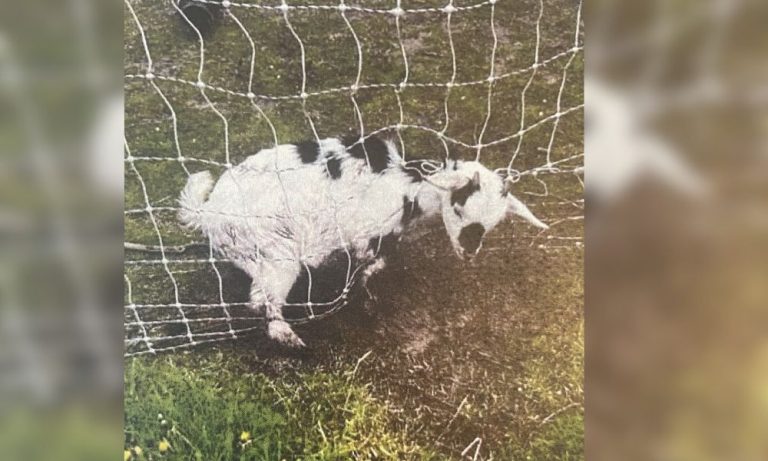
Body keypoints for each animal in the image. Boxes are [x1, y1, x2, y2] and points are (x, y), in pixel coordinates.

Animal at [179, 135, 548, 347]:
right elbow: (373, 262)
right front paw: (365, 296)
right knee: (263, 301)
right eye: (457, 207)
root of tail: (207, 212)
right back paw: (290, 338)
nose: (469, 252)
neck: (410, 187)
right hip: (278, 254)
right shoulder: (369, 232)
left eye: (494, 224)